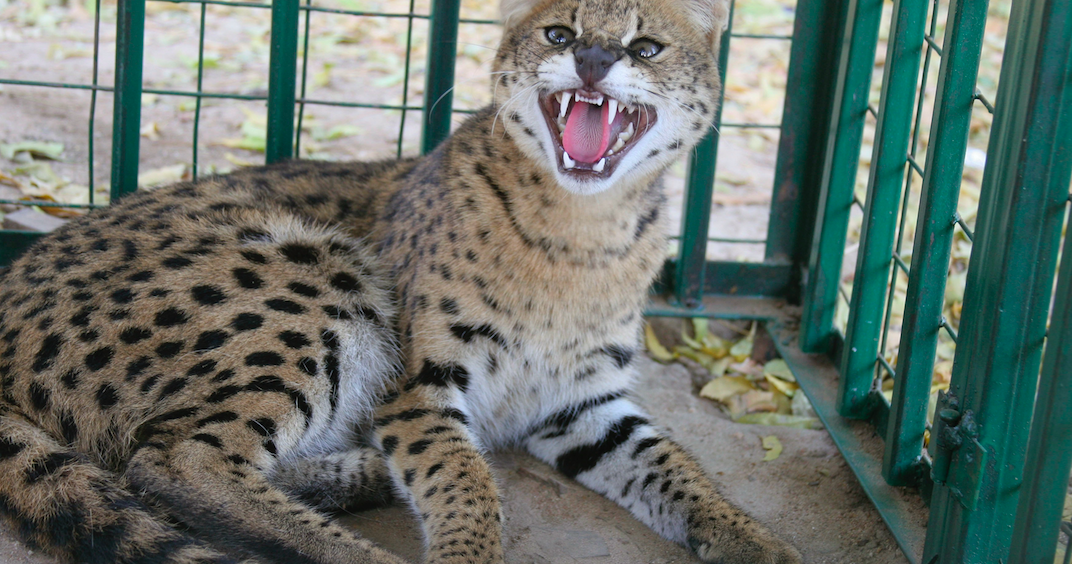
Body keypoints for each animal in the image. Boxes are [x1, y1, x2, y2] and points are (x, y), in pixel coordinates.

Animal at [0, 0, 804, 563]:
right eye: (559, 35)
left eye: (646, 48)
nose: (596, 61)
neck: (582, 230)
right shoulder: (422, 383)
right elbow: (463, 484)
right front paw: (465, 553)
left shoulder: (585, 403)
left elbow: (679, 471)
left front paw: (762, 544)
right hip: (315, 272)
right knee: (174, 460)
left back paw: (362, 474)